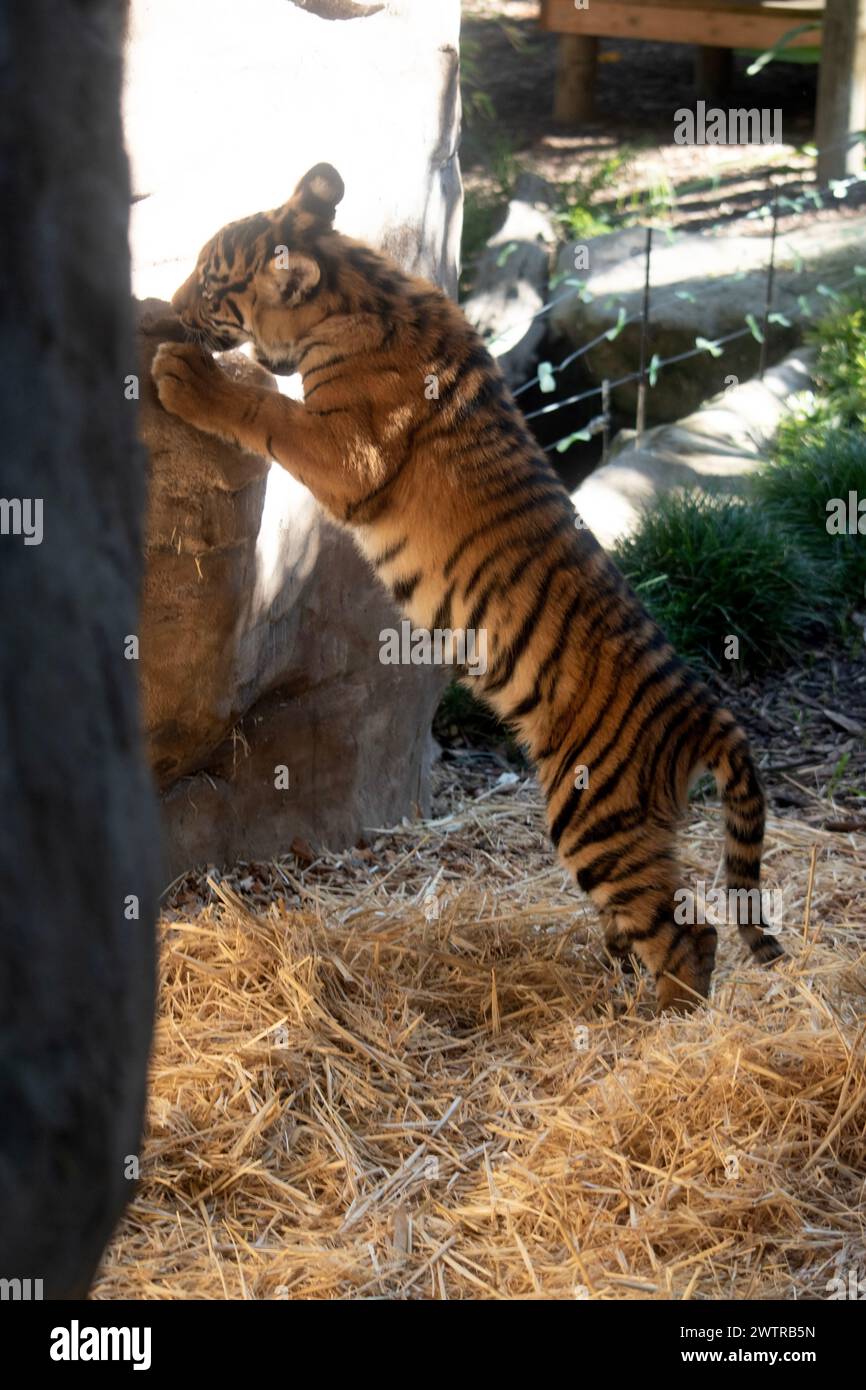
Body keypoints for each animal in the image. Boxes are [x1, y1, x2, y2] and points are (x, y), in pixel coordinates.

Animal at [152, 161, 783, 1012]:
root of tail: (706, 712)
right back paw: (614, 994)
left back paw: (659, 1027)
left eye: (214, 284)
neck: (361, 282)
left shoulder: (347, 449)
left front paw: (189, 376)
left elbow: (267, 410)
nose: (172, 304)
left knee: (691, 937)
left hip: (599, 817)